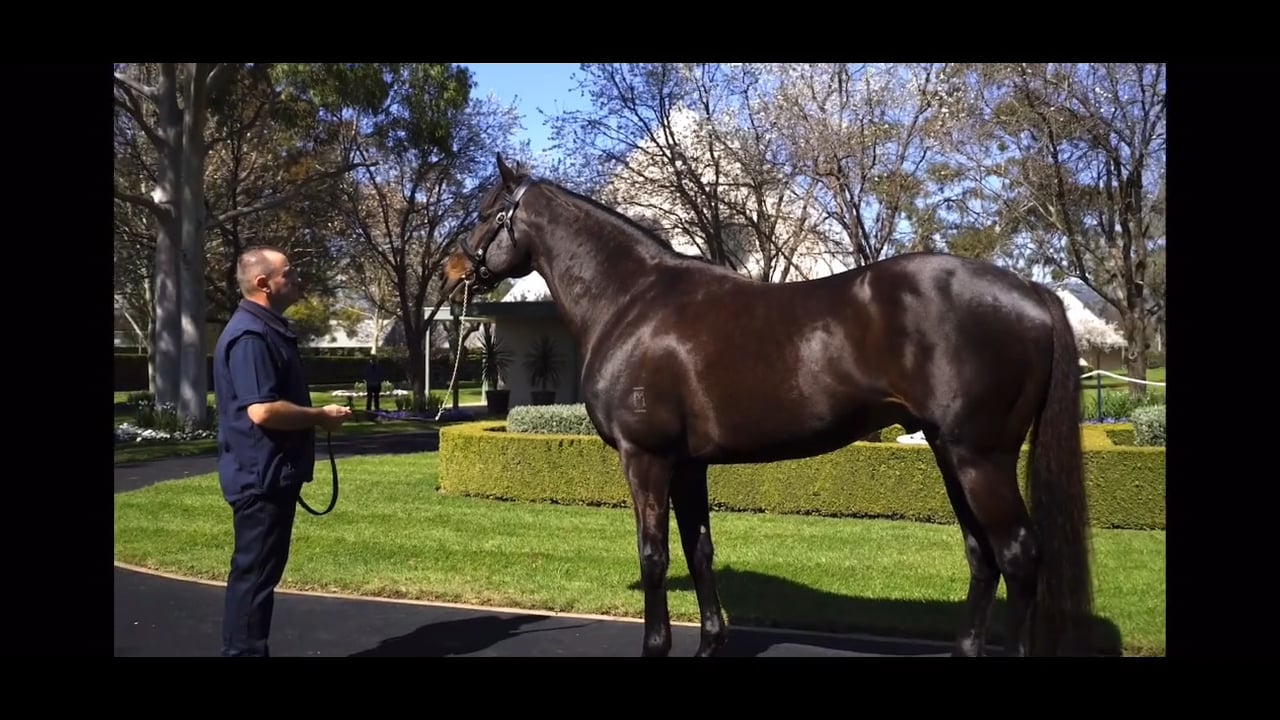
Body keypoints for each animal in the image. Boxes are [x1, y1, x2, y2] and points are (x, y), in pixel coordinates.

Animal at [434, 153, 1094, 658]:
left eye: (488, 214)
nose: (450, 270)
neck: (632, 300)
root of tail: (1032, 291)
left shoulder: (645, 458)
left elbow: (654, 556)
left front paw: (657, 645)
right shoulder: (687, 465)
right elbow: (699, 551)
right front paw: (709, 643)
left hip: (980, 457)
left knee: (1018, 554)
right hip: (948, 452)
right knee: (983, 555)